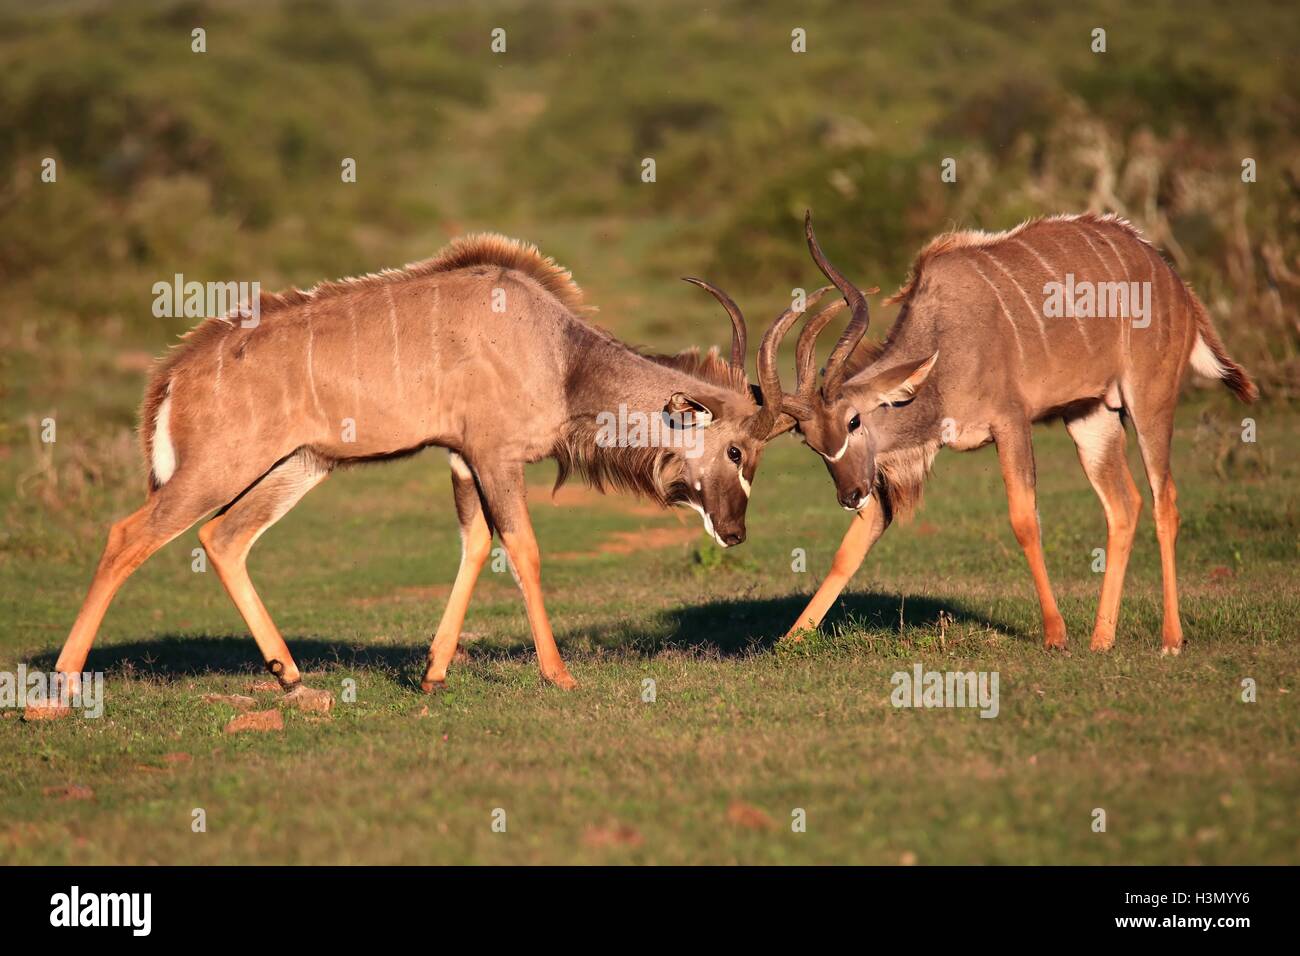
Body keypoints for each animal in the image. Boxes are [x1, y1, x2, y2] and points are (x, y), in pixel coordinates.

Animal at [41, 233, 812, 714]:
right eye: (738, 452)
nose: (735, 532)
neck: (559, 354)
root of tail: (175, 375)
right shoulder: (495, 457)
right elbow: (523, 549)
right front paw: (558, 674)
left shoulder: (462, 461)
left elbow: (475, 546)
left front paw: (434, 675)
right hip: (214, 472)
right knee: (127, 536)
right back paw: (60, 689)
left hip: (298, 467)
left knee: (224, 539)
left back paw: (289, 675)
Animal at [765, 212, 1256, 655]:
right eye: (811, 441)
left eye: (853, 421)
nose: (849, 495)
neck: (944, 347)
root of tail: (1179, 286)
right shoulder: (880, 478)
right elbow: (852, 546)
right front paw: (789, 641)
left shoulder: (1010, 423)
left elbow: (1024, 520)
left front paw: (1055, 635)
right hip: (1091, 416)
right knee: (1123, 505)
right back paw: (1102, 640)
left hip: (1149, 402)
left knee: (1164, 500)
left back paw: (1171, 640)